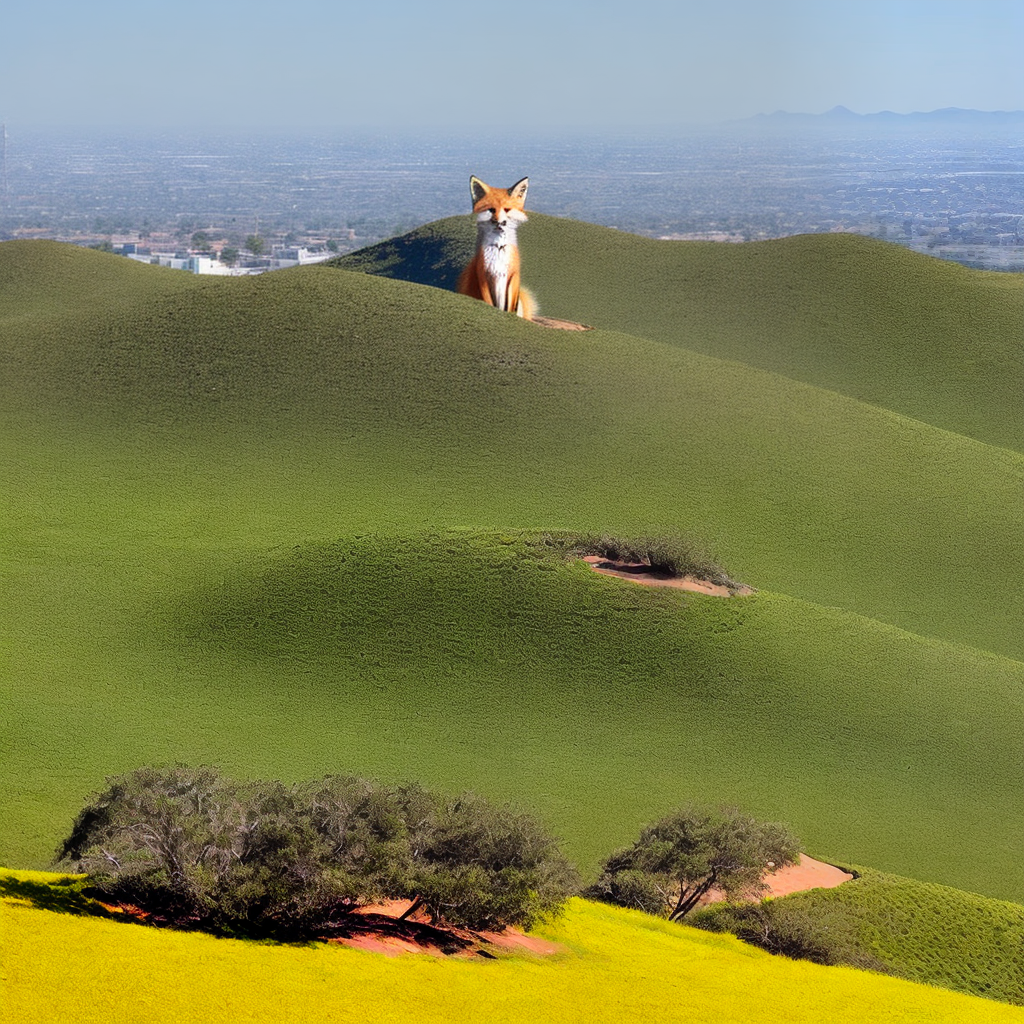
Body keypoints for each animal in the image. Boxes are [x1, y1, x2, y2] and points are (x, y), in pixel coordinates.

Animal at [456, 175, 535, 319]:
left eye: (507, 209)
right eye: (491, 210)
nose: (501, 222)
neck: (499, 248)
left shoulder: (513, 276)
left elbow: (510, 307)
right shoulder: (483, 276)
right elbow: (488, 303)